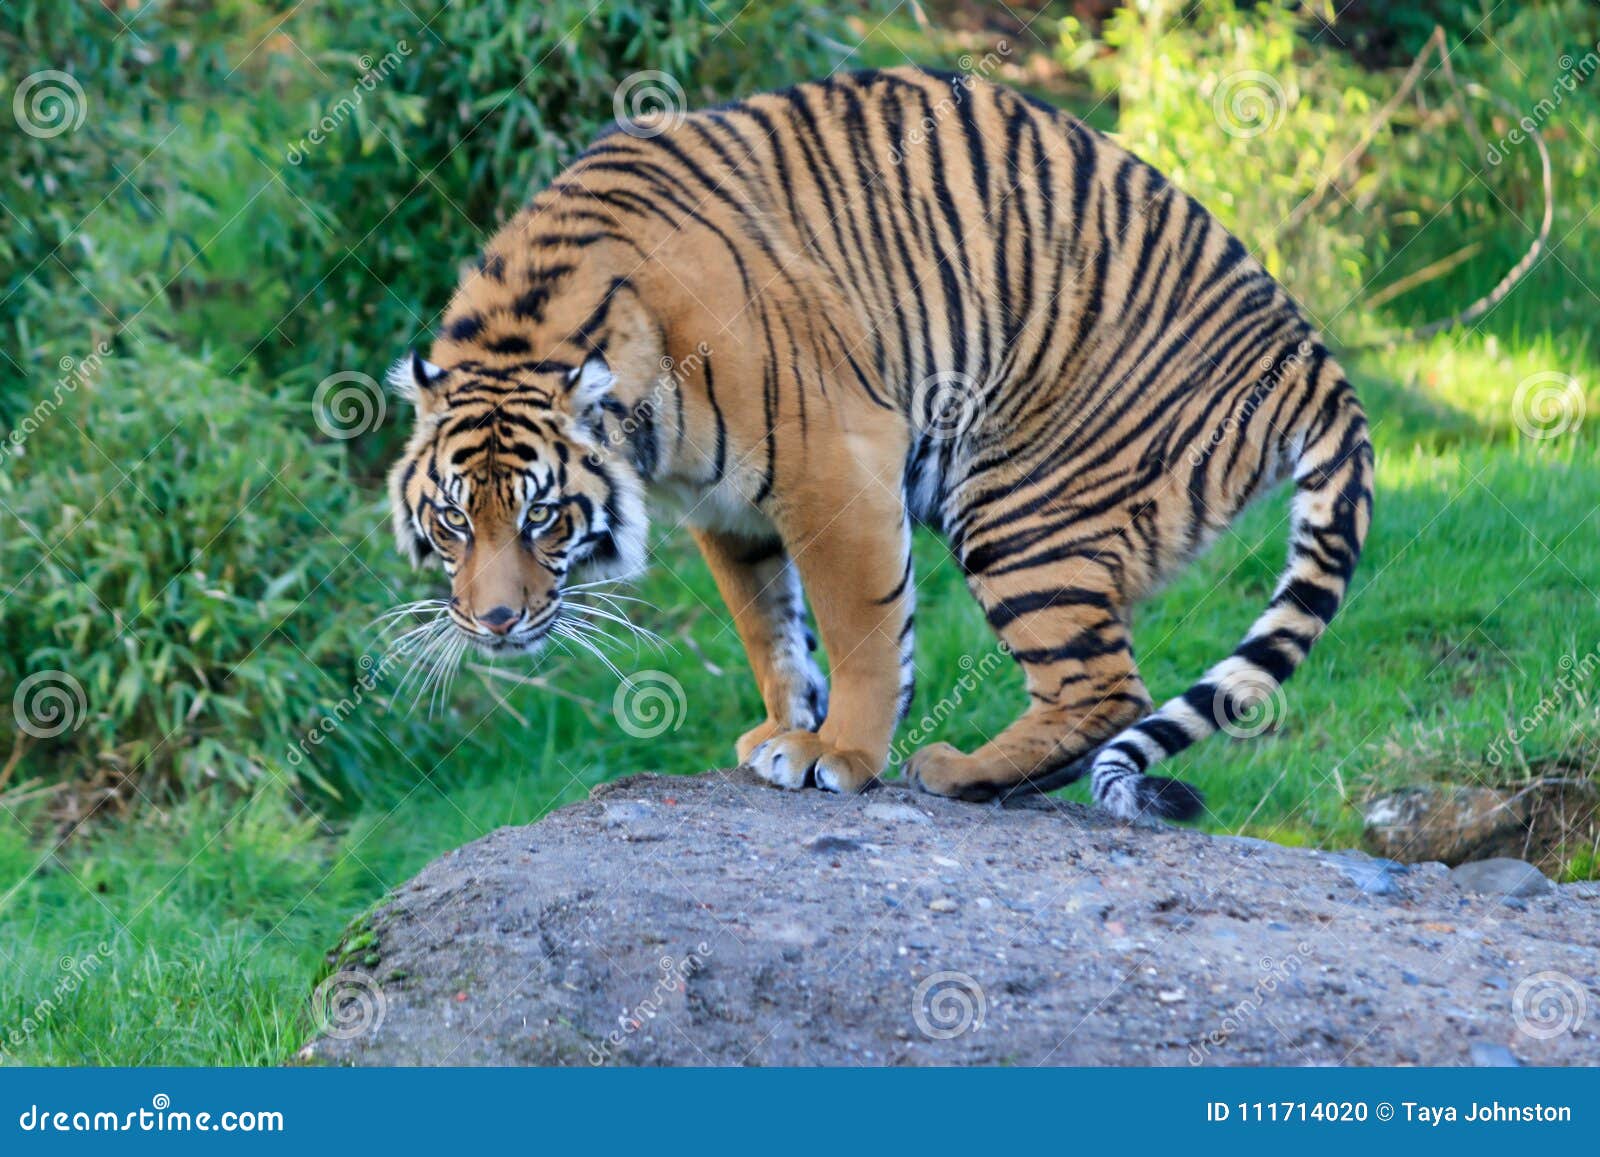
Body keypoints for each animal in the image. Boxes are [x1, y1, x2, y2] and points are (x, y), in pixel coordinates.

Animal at [386, 66, 1373, 821]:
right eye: (453, 522)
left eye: (543, 517)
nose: (494, 622)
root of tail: (1307, 351)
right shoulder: (724, 506)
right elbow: (770, 626)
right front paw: (785, 727)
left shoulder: (834, 462)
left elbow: (860, 628)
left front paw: (841, 754)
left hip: (1018, 503)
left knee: (1104, 687)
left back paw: (956, 770)